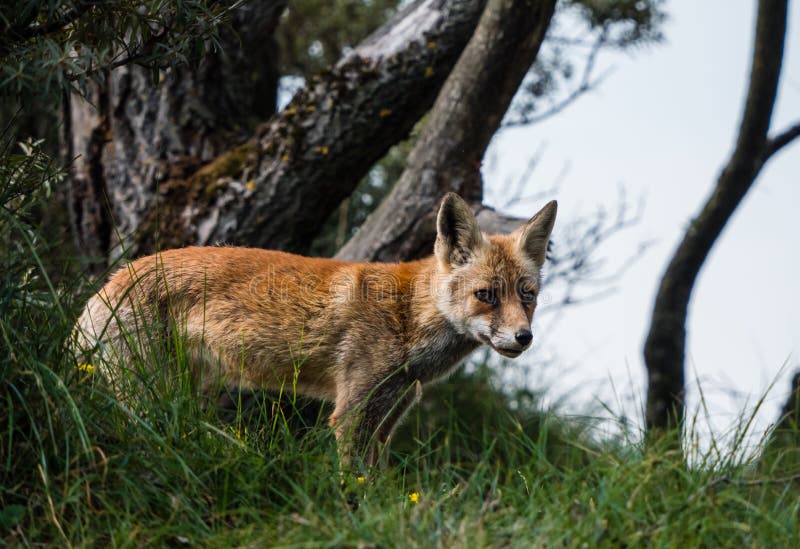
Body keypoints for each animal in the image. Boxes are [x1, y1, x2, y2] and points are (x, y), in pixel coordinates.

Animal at [74, 193, 557, 466]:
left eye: (527, 296)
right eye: (486, 295)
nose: (524, 338)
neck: (406, 316)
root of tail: (104, 286)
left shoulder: (388, 415)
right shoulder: (352, 412)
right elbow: (355, 486)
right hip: (145, 394)